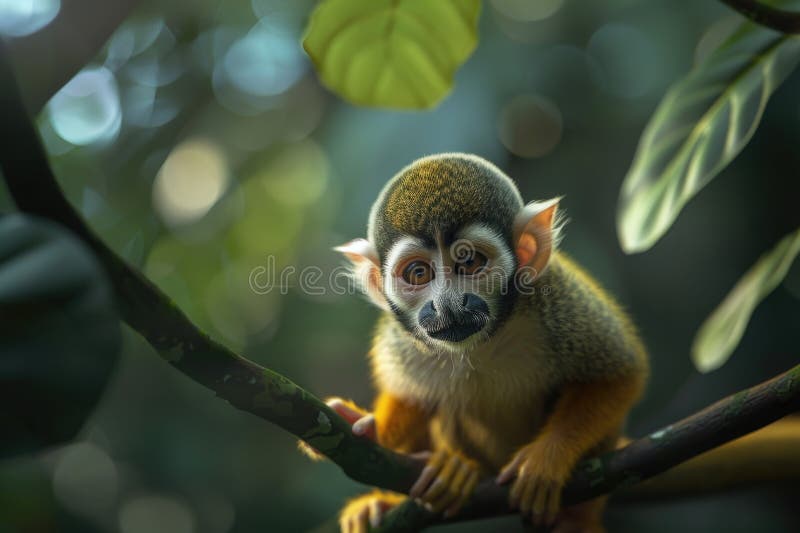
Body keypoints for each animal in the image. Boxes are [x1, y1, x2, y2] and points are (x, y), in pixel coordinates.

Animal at [322, 153, 649, 533]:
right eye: (418, 273)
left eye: (470, 261)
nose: (447, 304)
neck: (481, 344)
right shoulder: (402, 341)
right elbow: (412, 398)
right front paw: (371, 428)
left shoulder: (555, 298)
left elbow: (619, 374)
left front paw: (547, 456)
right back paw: (449, 474)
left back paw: (576, 518)